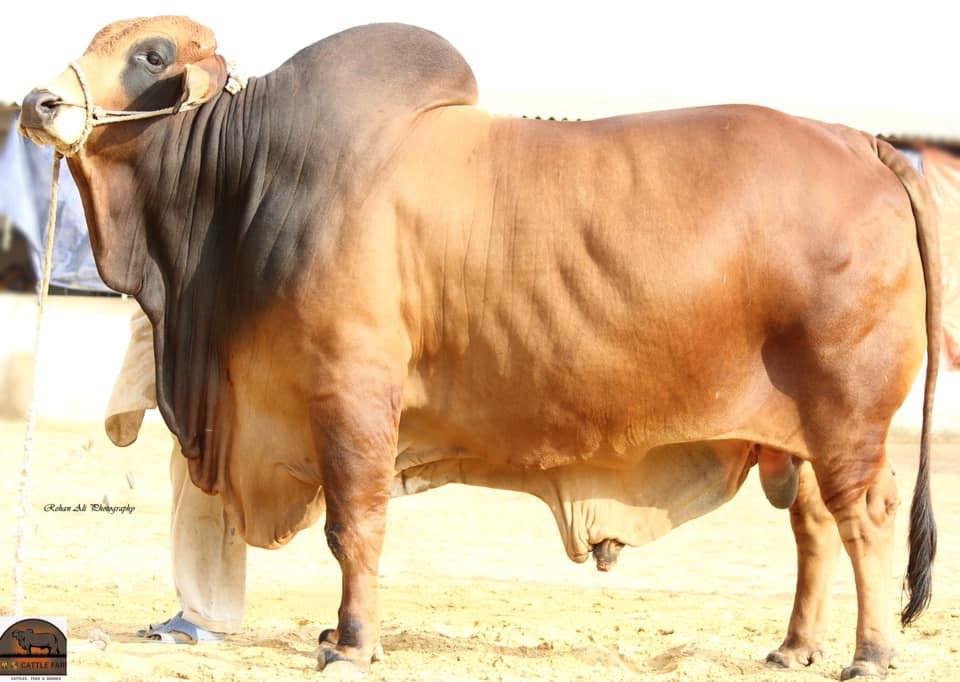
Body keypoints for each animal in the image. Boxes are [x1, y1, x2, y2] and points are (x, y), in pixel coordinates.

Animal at [19, 16, 939, 679]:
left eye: (150, 52)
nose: (38, 103)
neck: (244, 177)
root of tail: (865, 143)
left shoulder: (351, 391)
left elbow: (353, 524)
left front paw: (351, 644)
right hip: (800, 432)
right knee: (815, 526)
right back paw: (794, 648)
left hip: (849, 412)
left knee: (868, 517)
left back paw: (871, 655)